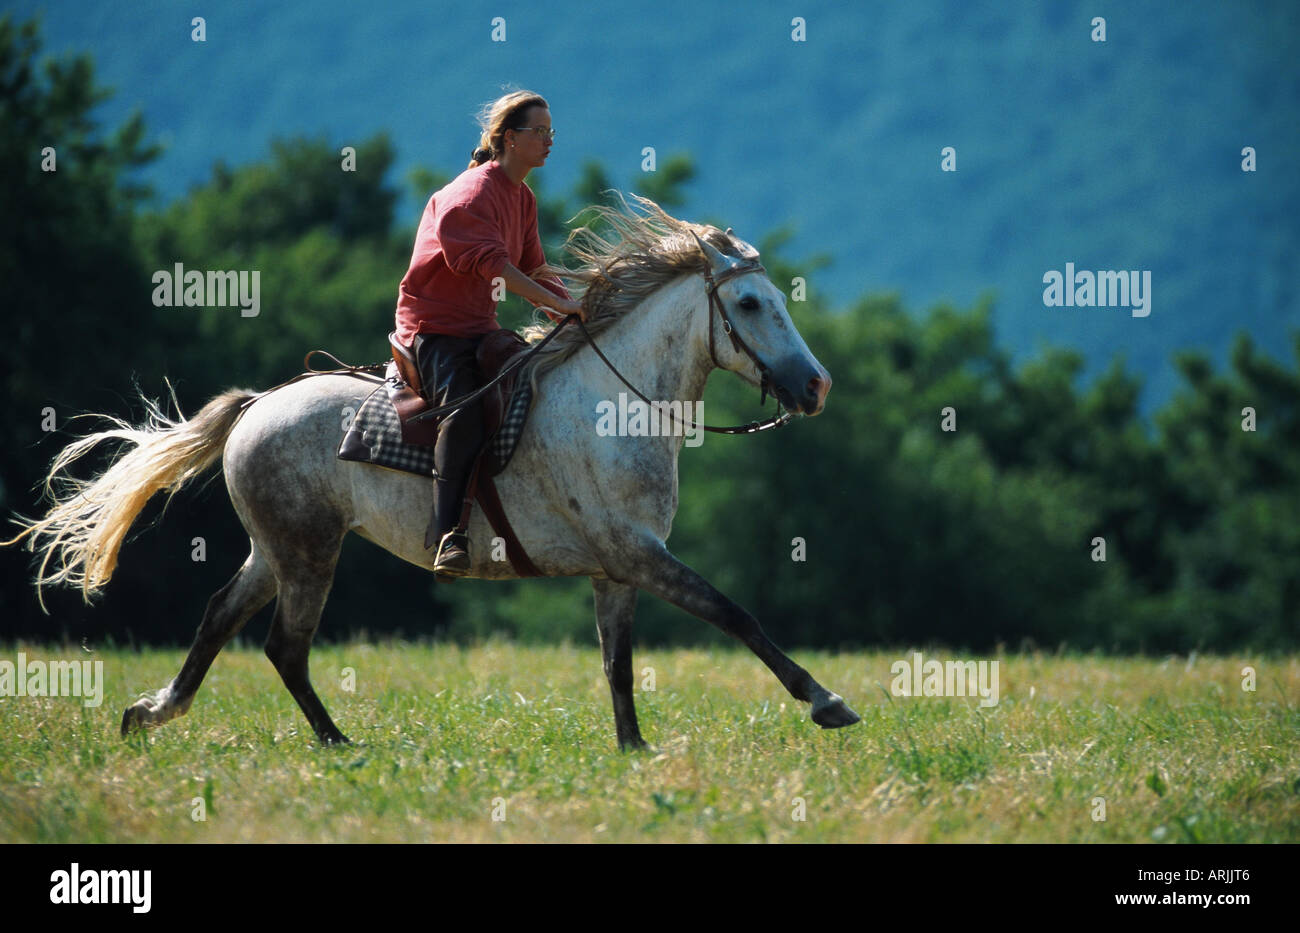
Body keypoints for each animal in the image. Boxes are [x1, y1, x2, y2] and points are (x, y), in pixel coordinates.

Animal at [3, 195, 861, 749]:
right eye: (748, 304)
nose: (817, 386)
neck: (615, 404)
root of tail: (256, 407)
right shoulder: (639, 553)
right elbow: (734, 614)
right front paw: (826, 700)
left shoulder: (616, 566)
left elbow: (618, 665)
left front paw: (633, 750)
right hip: (308, 552)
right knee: (284, 644)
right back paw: (335, 740)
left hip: (276, 549)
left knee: (221, 617)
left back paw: (151, 712)